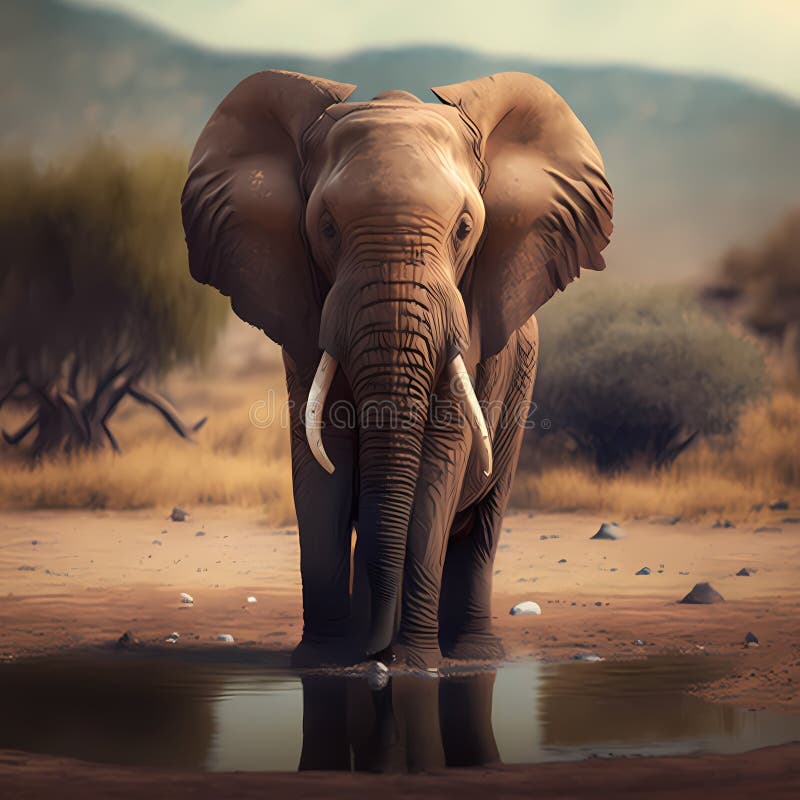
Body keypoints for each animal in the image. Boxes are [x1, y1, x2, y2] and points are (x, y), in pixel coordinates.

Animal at [182, 69, 613, 670]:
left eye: (464, 228)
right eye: (326, 227)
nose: (374, 651)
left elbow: (439, 464)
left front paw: (413, 664)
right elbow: (323, 462)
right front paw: (324, 662)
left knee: (483, 521)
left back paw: (473, 652)